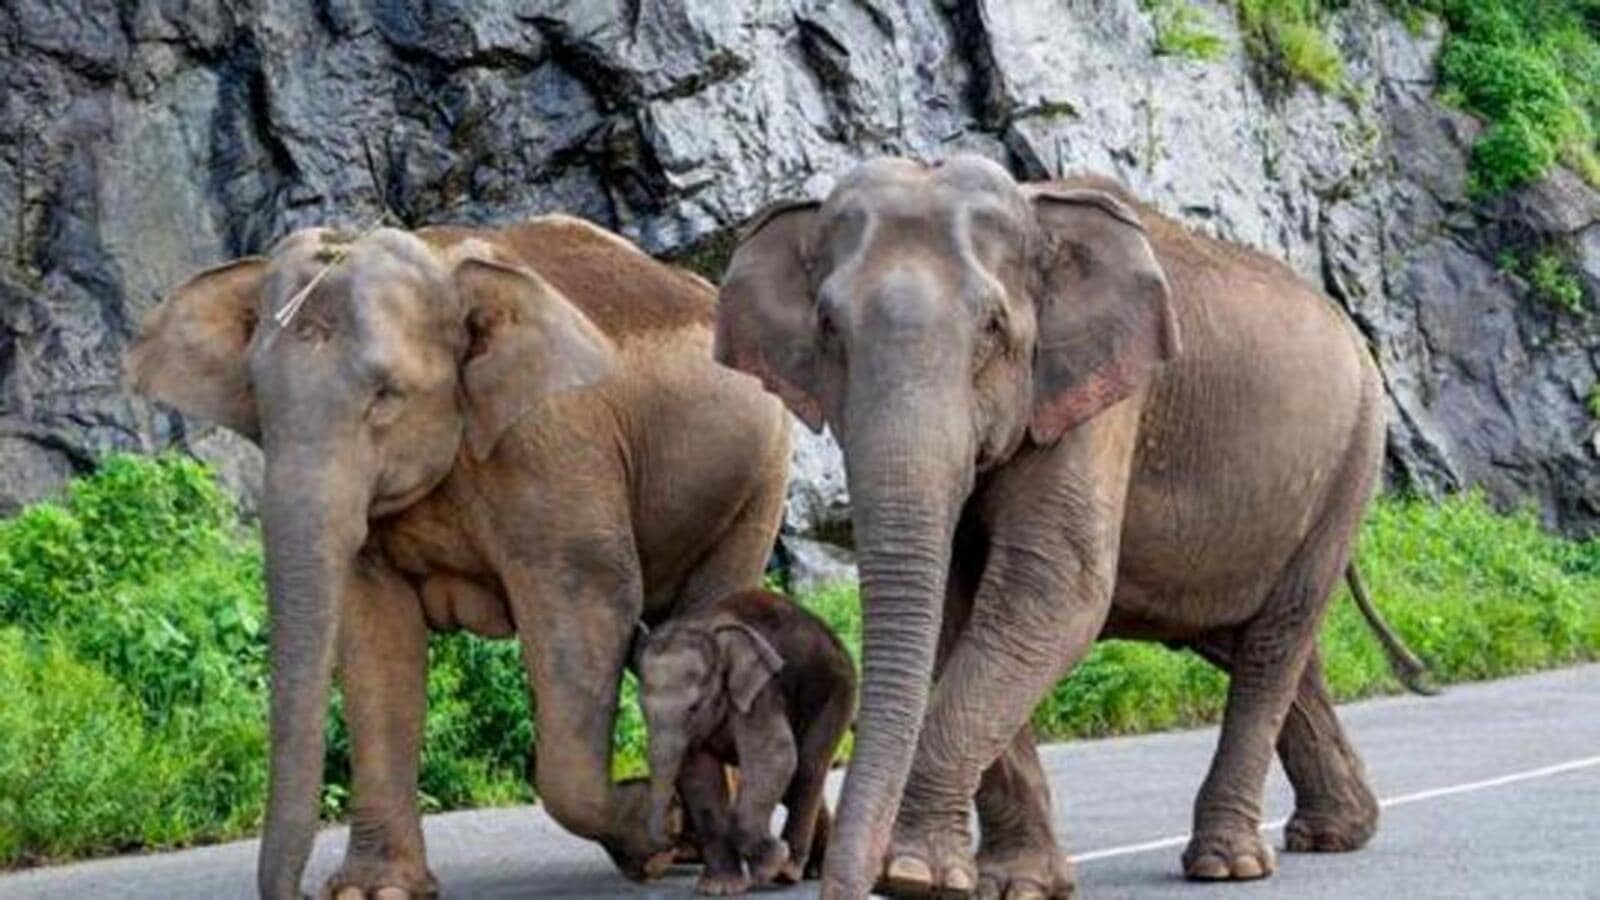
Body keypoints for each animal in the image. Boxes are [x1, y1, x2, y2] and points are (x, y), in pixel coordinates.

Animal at [123, 216, 790, 899]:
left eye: (386, 394)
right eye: (257, 400)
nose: (305, 891)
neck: (443, 268)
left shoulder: (552, 448)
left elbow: (589, 606)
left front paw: (650, 836)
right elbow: (375, 635)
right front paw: (375, 891)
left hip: (758, 479)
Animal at [636, 588, 855, 894]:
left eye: (693, 707)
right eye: (641, 707)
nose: (657, 862)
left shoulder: (761, 692)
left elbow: (774, 756)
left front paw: (773, 861)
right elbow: (698, 774)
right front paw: (718, 889)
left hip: (834, 689)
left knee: (807, 768)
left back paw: (787, 872)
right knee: (797, 781)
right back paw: (812, 869)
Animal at [716, 155, 1401, 898]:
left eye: (992, 327)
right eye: (828, 327)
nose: (840, 880)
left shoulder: (1099, 400)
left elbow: (1049, 591)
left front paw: (917, 875)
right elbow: (962, 607)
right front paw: (1010, 882)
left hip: (1351, 463)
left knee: (1276, 640)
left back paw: (1230, 863)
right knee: (1257, 643)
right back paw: (1335, 832)